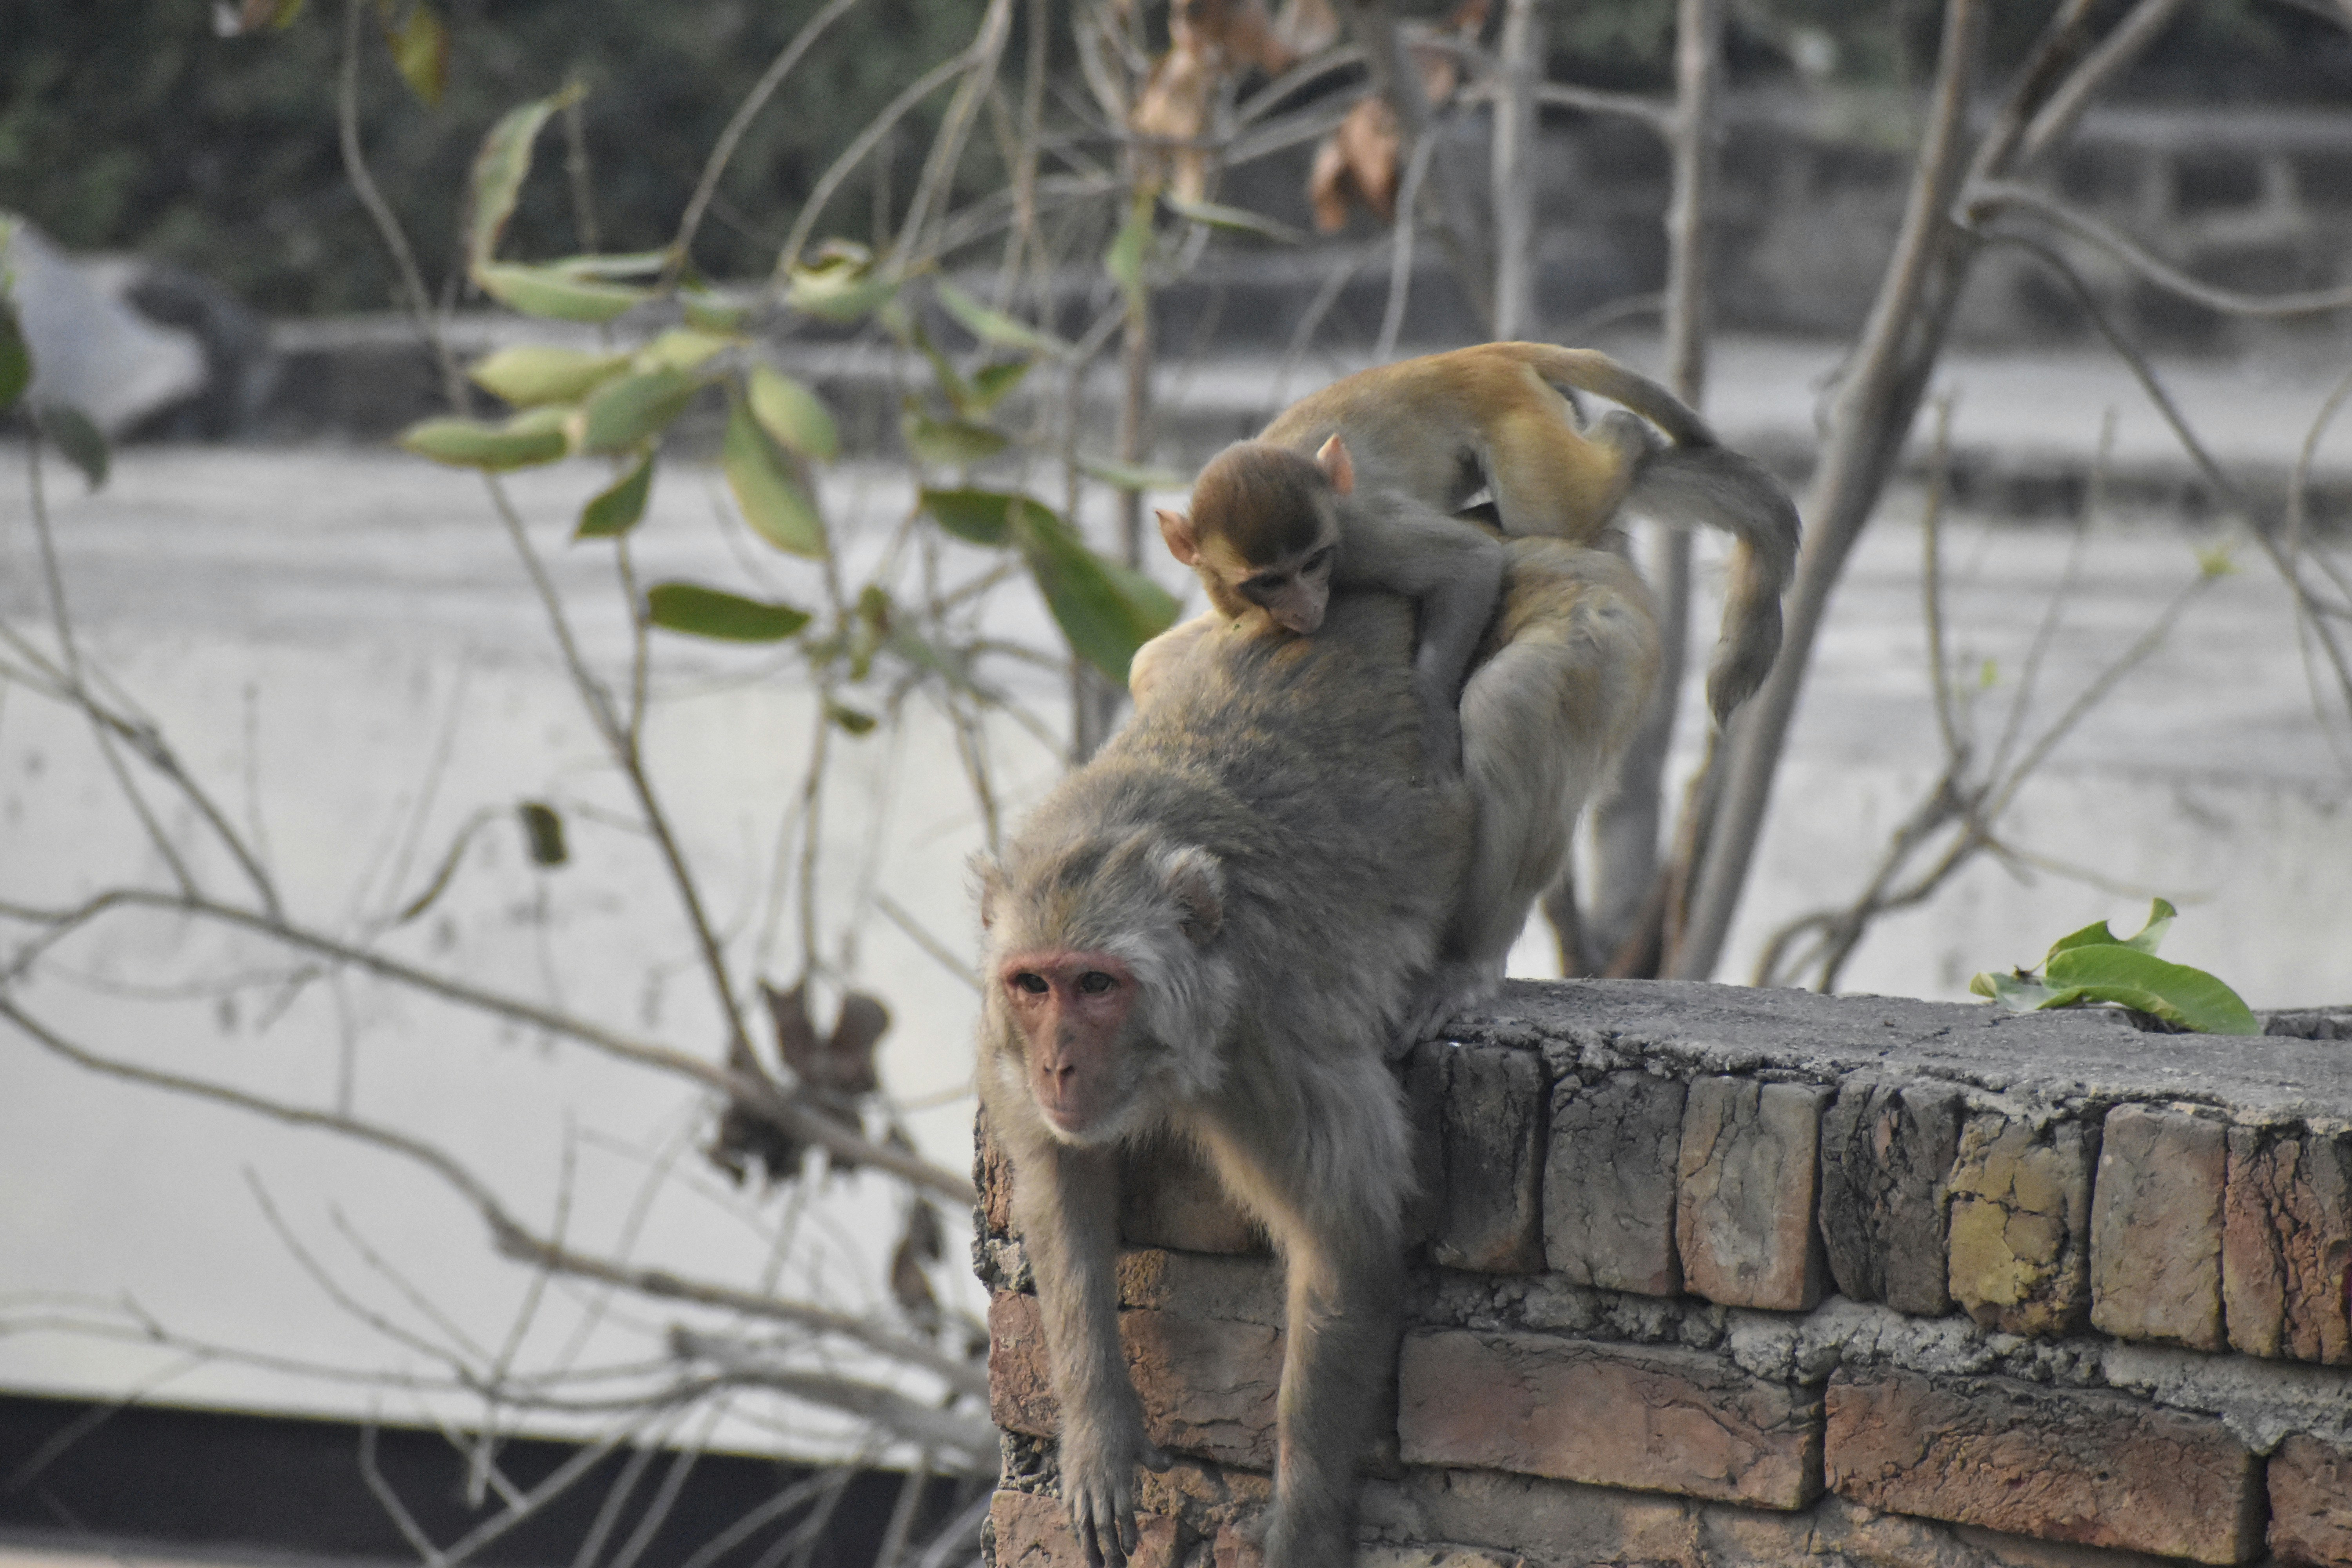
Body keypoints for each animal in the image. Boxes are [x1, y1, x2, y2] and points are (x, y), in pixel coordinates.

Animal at [980, 532, 1659, 1568]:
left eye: (1097, 985)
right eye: (1034, 984)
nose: (1057, 1062)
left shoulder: (1274, 1048)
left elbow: (1344, 1236)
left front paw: (1300, 1518)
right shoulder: (1007, 1053)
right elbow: (1063, 1182)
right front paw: (1096, 1431)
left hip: (1594, 615)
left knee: (1510, 699)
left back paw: (1462, 965)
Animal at [1154, 434, 1505, 773]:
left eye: (1312, 564)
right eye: (1269, 583)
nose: (1307, 607)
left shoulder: (1361, 537)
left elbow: (1469, 565)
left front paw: (1432, 719)